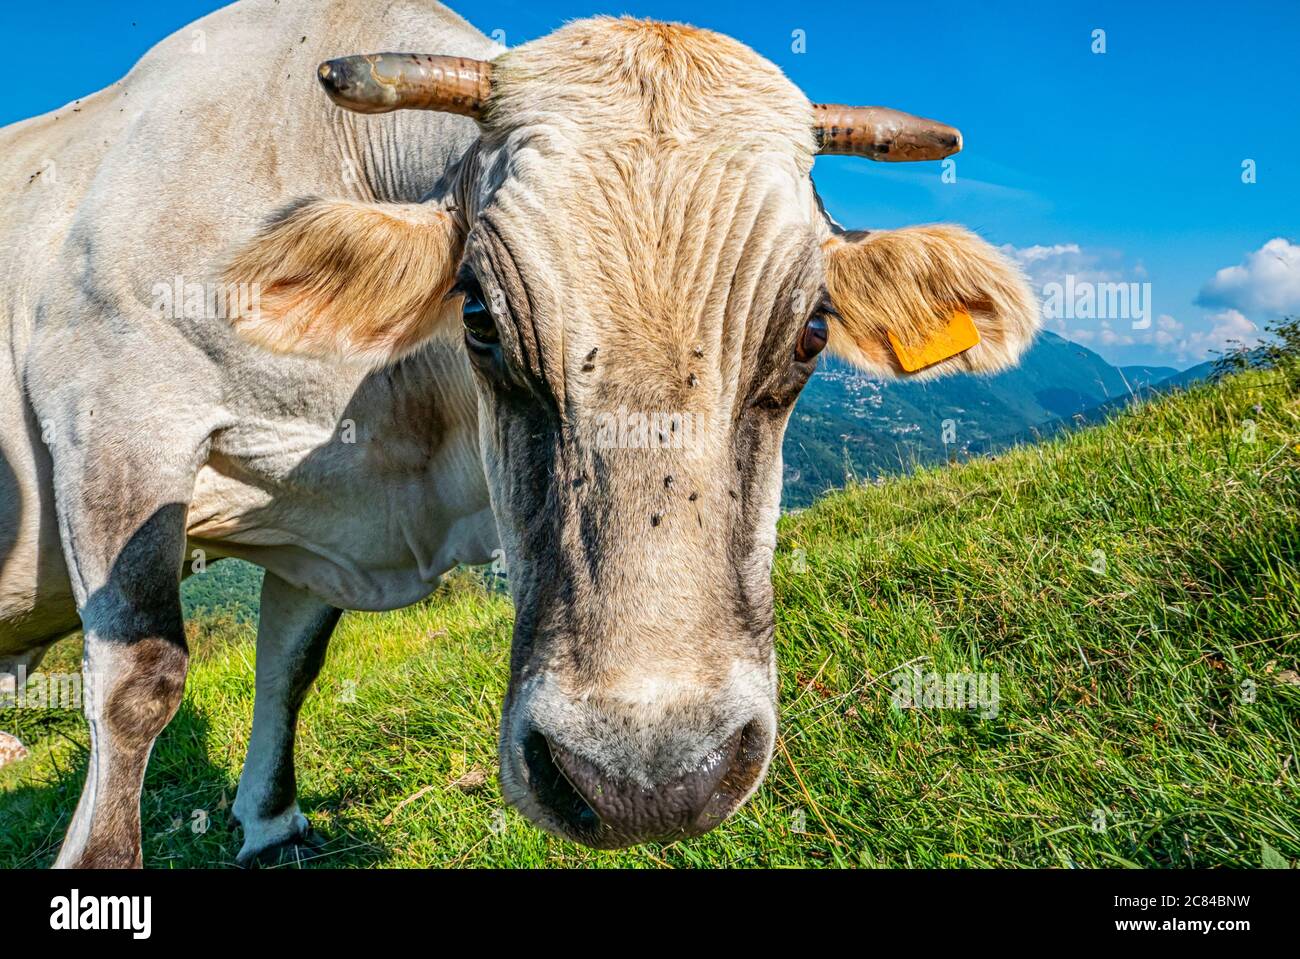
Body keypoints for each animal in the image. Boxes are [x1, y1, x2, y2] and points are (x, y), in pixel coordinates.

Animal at [0, 0, 1039, 867]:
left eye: (813, 333)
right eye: (479, 317)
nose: (648, 779)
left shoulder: (312, 522)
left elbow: (290, 665)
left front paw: (269, 823)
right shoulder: (113, 405)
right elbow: (141, 677)